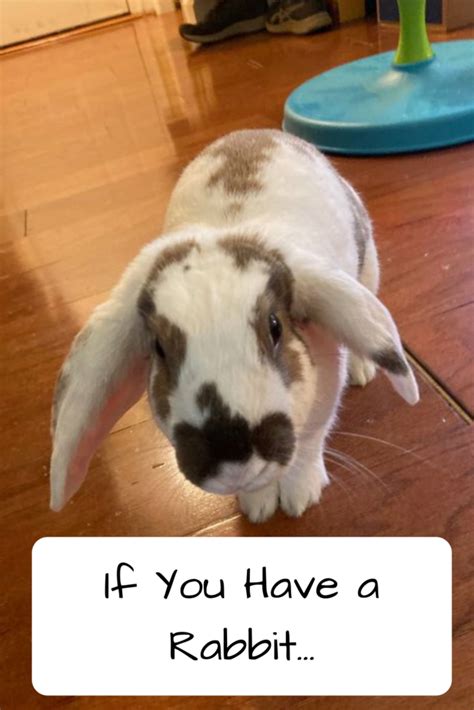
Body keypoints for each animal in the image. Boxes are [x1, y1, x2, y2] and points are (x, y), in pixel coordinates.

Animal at [50, 129, 419, 523]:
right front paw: (258, 506)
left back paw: (362, 370)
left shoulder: (323, 402)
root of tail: (258, 132)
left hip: (367, 275)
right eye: (159, 349)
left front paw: (299, 497)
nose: (233, 461)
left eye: (275, 327)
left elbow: (309, 445)